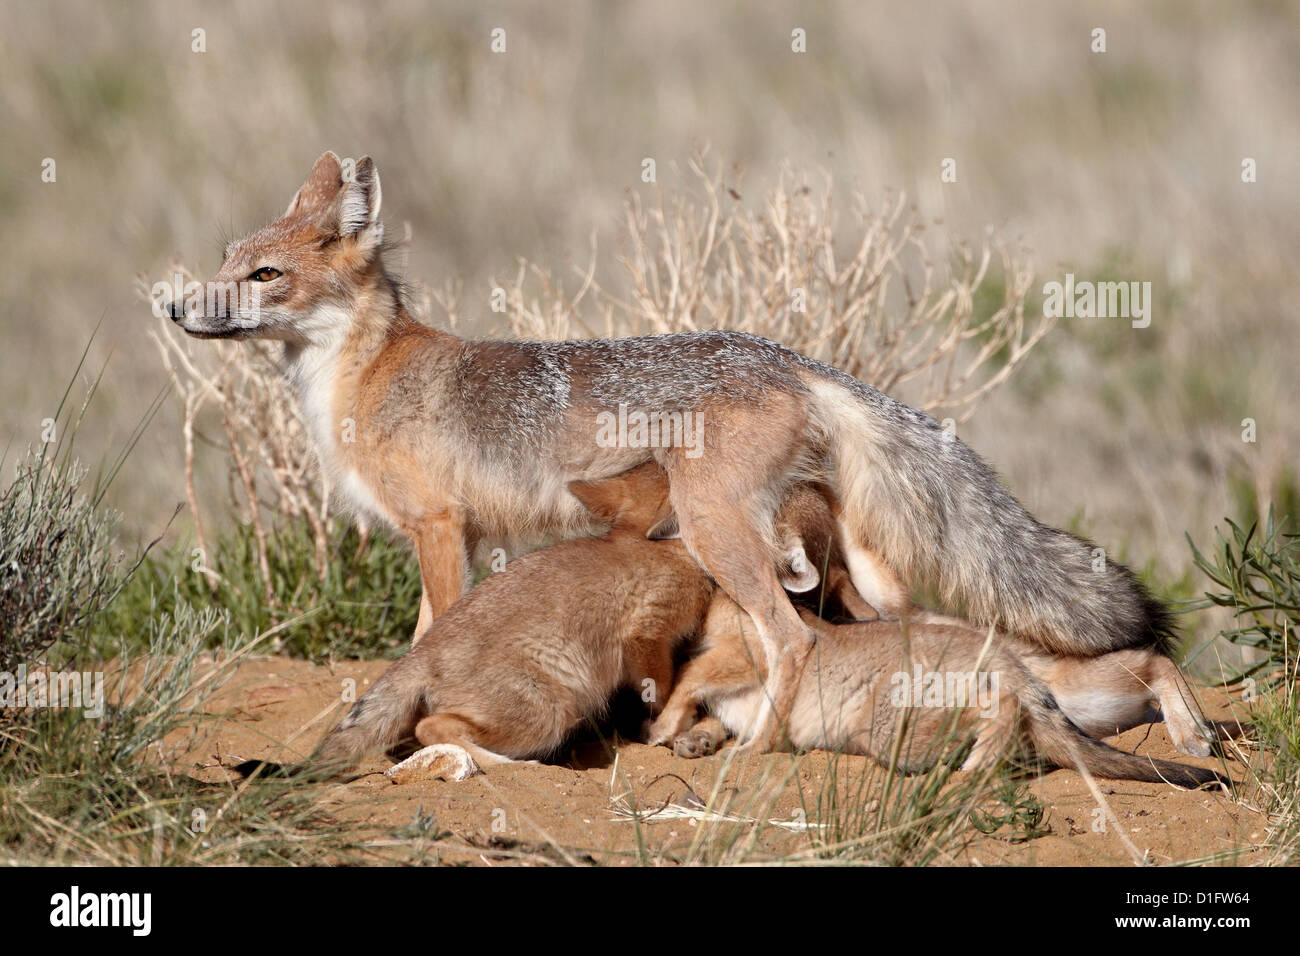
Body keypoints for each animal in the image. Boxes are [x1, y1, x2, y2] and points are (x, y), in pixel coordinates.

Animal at [169, 150, 1186, 750]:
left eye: (263, 275)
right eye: (224, 262)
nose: (177, 305)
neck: (364, 373)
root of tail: (791, 356)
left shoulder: (438, 528)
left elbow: (431, 635)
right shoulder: (471, 534)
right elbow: (425, 636)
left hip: (714, 531)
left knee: (791, 638)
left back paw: (760, 746)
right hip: (851, 559)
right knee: (889, 624)